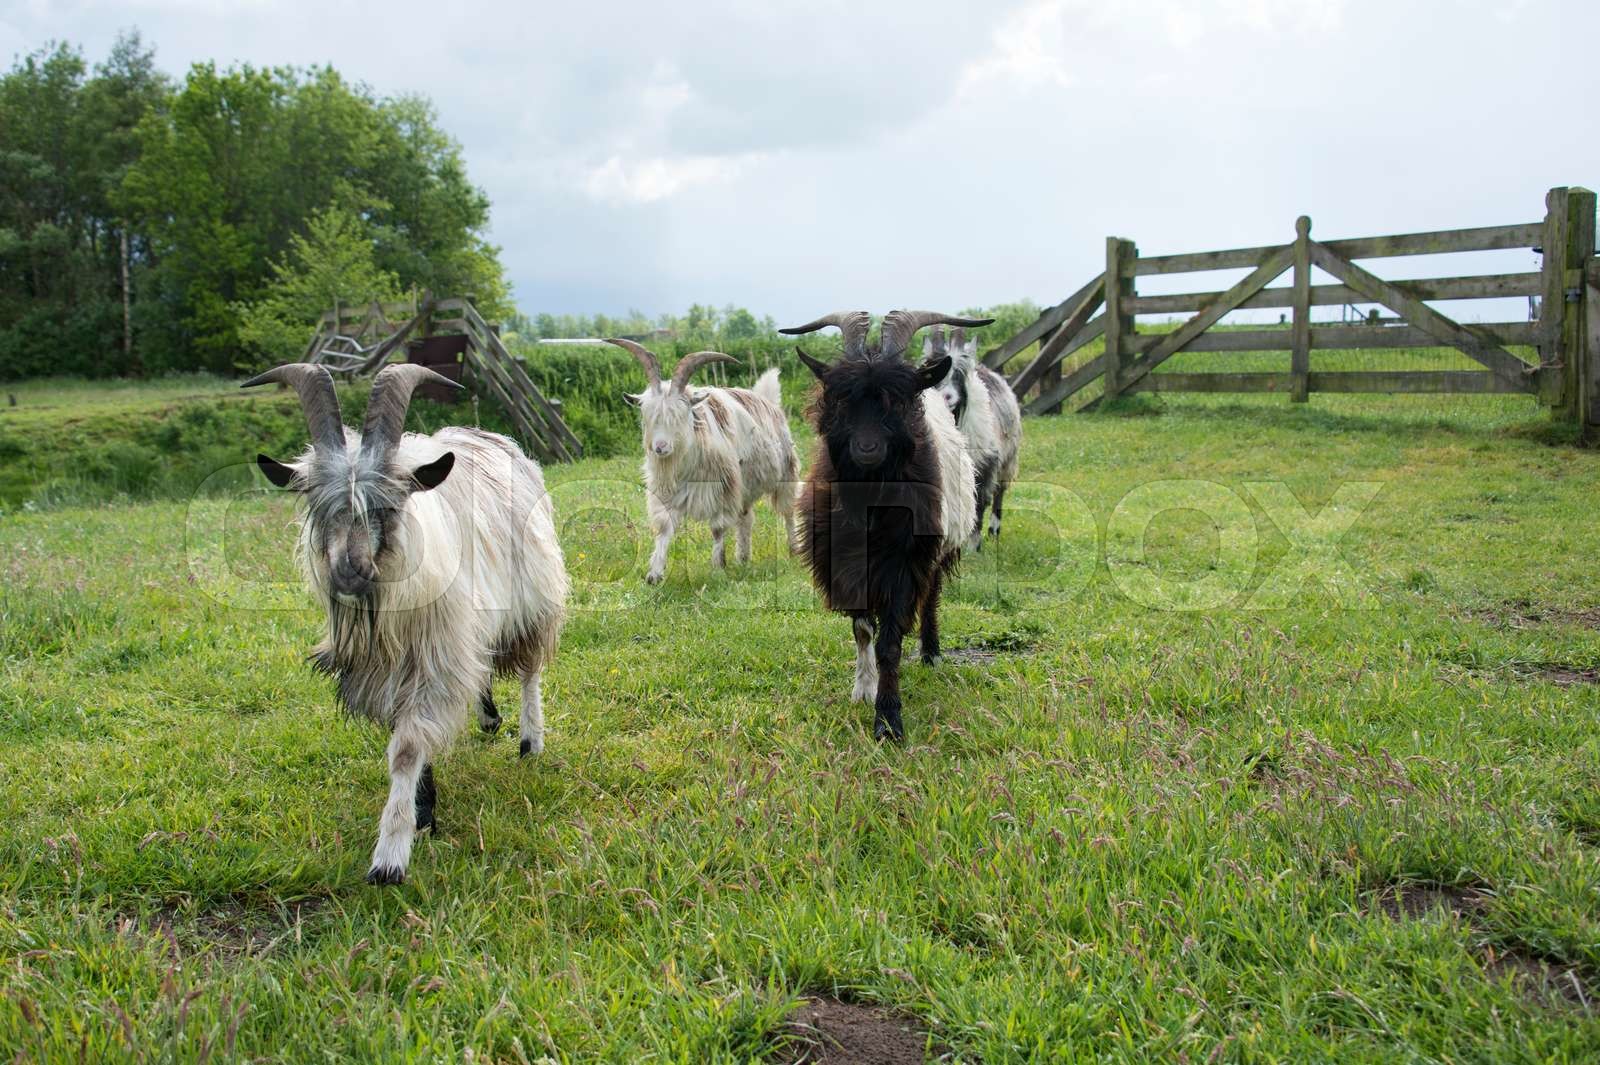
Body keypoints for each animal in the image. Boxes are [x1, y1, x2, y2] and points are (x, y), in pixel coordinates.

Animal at [245, 363, 568, 885]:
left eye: (389, 505)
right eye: (318, 505)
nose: (349, 572)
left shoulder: (433, 660)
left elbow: (408, 747)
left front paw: (390, 857)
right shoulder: (391, 668)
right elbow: (409, 736)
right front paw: (423, 813)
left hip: (535, 597)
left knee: (529, 670)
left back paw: (529, 740)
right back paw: (488, 719)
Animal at [609, 339, 799, 584]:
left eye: (681, 414)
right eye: (647, 415)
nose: (660, 448)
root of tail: (768, 401)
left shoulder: (724, 489)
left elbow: (717, 529)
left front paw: (718, 569)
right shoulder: (666, 492)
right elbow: (664, 528)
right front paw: (654, 574)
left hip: (786, 472)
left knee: (787, 511)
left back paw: (793, 549)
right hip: (745, 485)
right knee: (746, 518)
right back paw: (743, 558)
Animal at [781, 310, 992, 741]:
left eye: (897, 401)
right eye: (842, 399)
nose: (867, 448)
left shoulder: (905, 564)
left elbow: (890, 643)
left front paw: (888, 720)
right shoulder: (843, 564)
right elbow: (863, 629)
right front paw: (864, 688)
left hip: (936, 550)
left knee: (932, 597)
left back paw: (931, 652)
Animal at [922, 326, 1023, 548]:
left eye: (960, 373)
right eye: (933, 372)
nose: (947, 396)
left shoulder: (985, 461)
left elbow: (979, 501)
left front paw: (973, 544)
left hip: (1008, 457)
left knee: (999, 492)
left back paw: (994, 530)